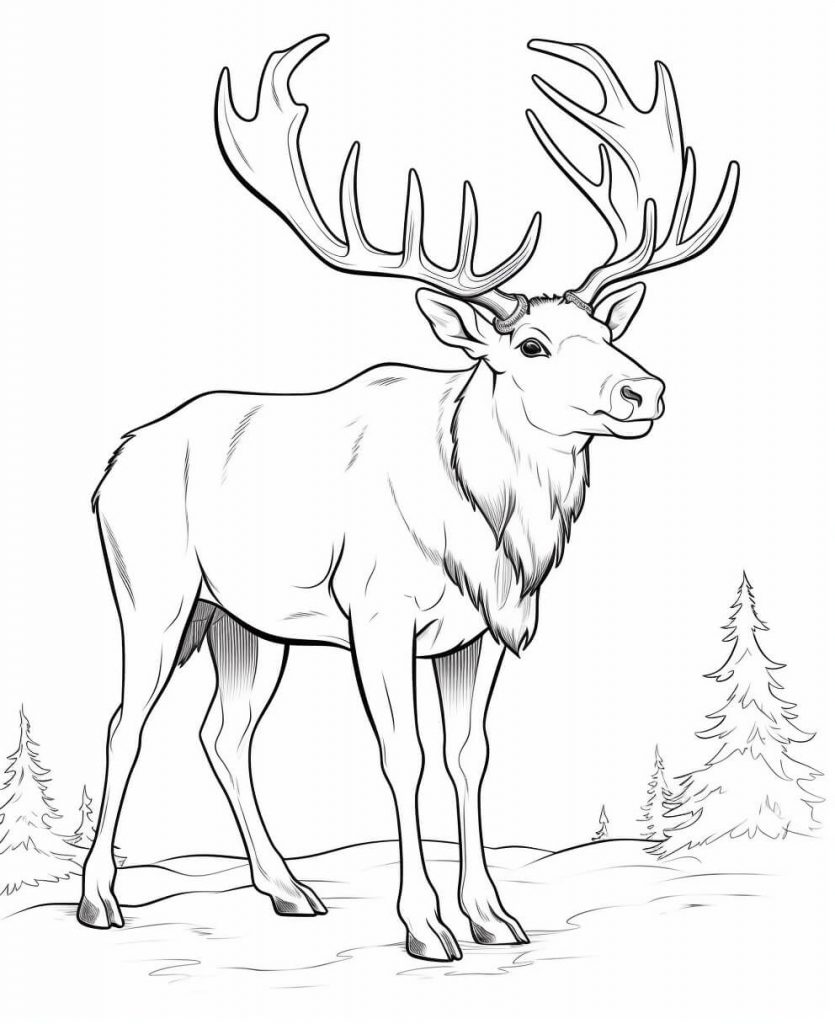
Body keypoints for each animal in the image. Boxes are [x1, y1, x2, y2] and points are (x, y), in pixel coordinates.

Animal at [78, 35, 739, 961]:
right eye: (531, 346)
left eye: (606, 332)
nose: (642, 390)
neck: (491, 537)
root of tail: (113, 462)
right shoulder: (377, 614)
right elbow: (405, 756)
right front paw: (426, 926)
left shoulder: (479, 633)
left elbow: (469, 755)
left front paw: (493, 916)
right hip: (153, 593)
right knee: (123, 723)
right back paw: (100, 900)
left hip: (245, 623)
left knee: (224, 733)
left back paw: (288, 889)